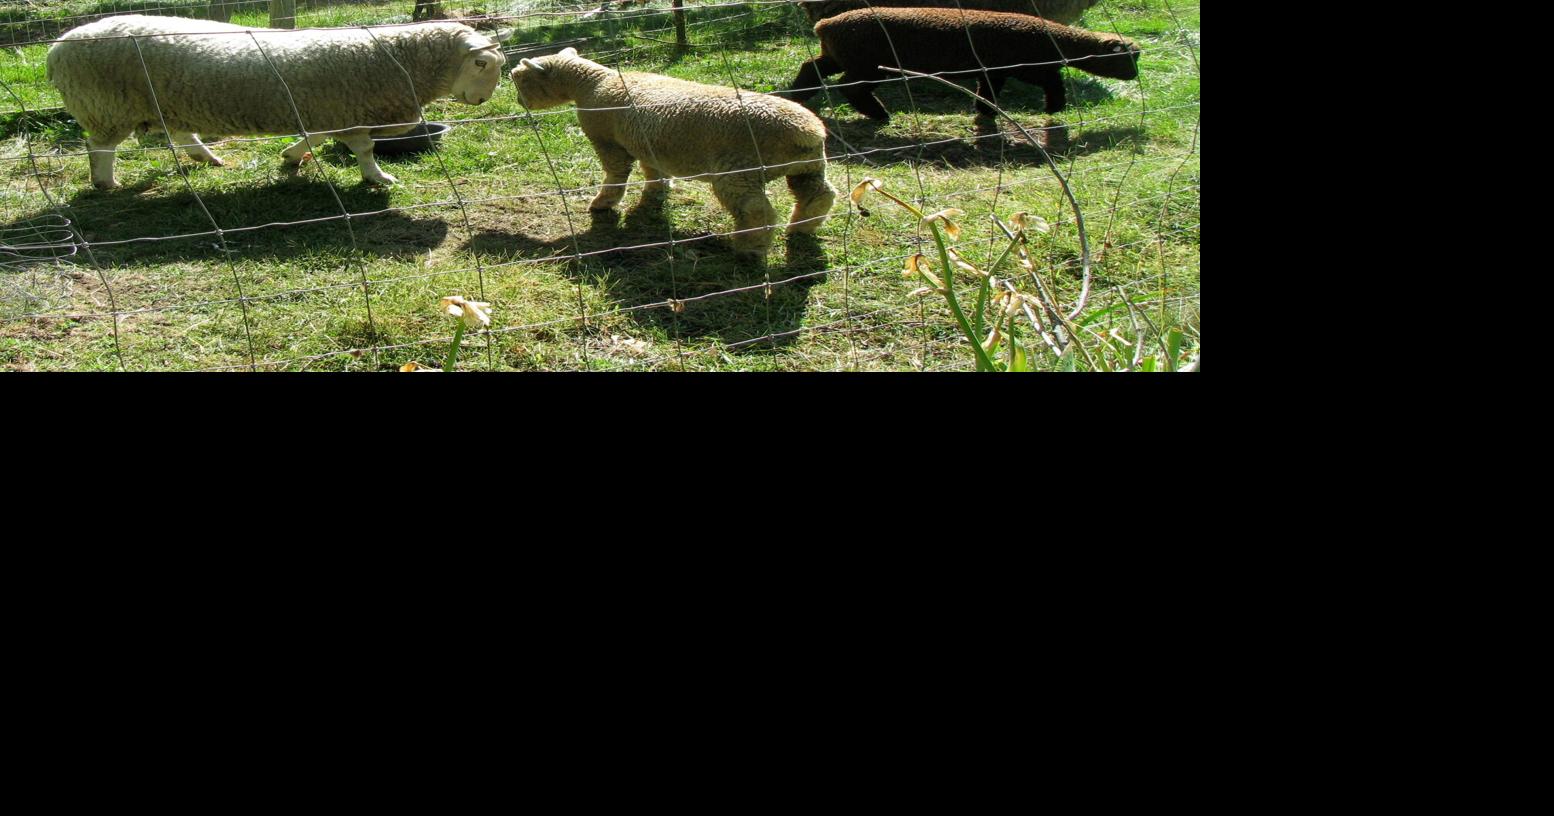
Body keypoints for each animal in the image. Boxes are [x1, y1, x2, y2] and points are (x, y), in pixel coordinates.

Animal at [45, 14, 507, 190]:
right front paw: (378, 178)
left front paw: (290, 157)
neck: (398, 59)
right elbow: (365, 148)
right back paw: (105, 182)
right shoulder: (348, 113)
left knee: (179, 134)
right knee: (99, 148)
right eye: (481, 62)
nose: (482, 100)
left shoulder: (328, 111)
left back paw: (206, 158)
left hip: (165, 101)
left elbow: (315, 139)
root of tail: (57, 47)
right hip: (108, 106)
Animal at [510, 47, 837, 260]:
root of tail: (806, 132)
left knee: (755, 210)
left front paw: (602, 204)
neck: (593, 83)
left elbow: (615, 174)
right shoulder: (646, 143)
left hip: (739, 170)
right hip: (808, 165)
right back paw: (804, 227)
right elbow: (652, 170)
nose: (518, 101)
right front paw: (656, 192)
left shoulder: (607, 140)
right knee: (819, 194)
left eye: (521, 79)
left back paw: (749, 248)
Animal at [779, 6, 1139, 122]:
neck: (1058, 41)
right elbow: (1052, 83)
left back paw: (797, 99)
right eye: (1128, 58)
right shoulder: (1024, 67)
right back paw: (880, 114)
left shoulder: (996, 69)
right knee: (849, 86)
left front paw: (985, 112)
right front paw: (1054, 109)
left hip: (838, 54)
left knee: (811, 68)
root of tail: (824, 25)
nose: (1137, 76)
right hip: (867, 62)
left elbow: (989, 89)